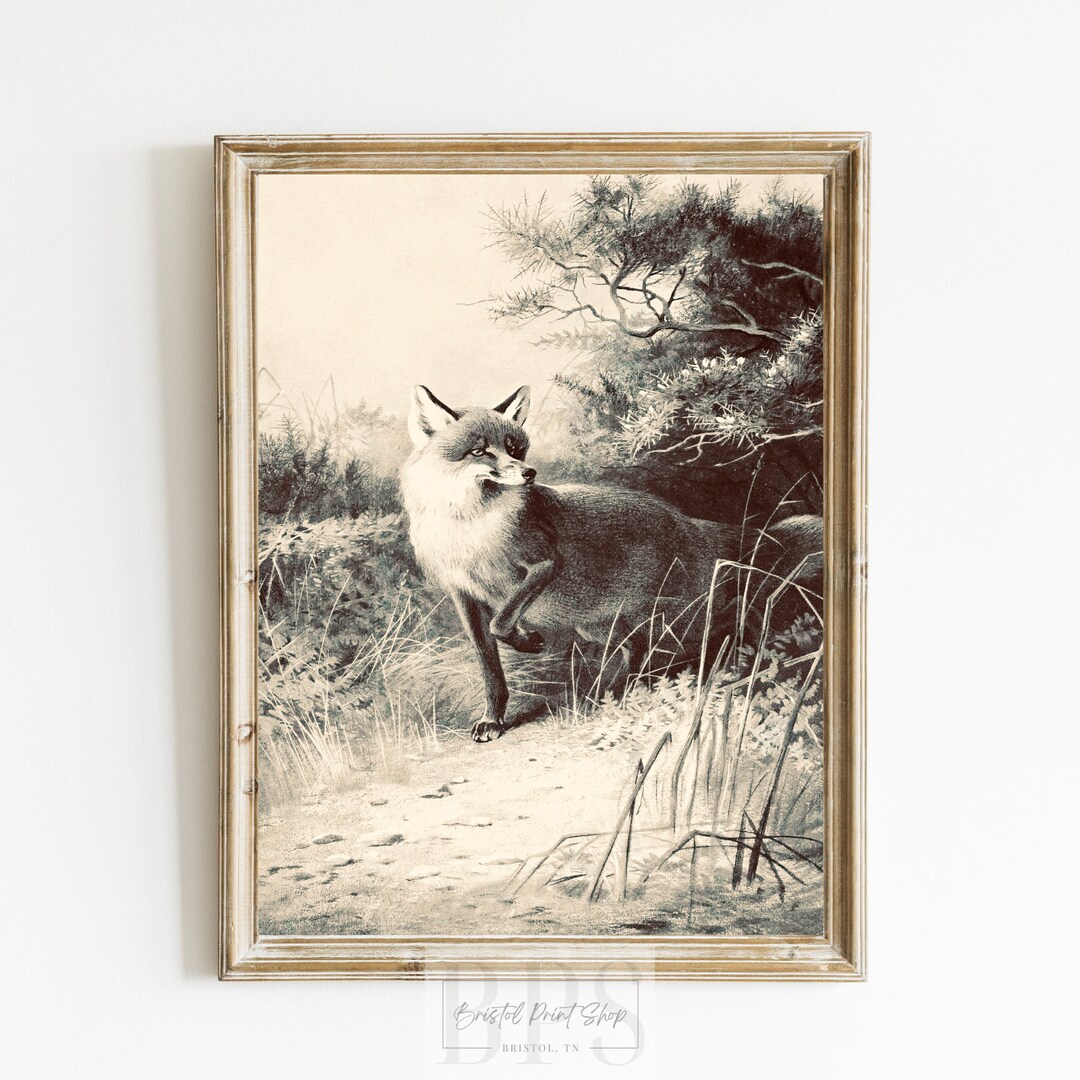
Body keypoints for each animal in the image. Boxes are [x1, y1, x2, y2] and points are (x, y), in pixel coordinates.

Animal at [400, 384, 822, 743]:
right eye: (479, 451)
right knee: (640, 651)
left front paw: (528, 641)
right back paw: (623, 691)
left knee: (720, 622)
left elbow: (502, 624)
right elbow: (491, 667)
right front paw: (493, 720)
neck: (470, 528)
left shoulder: (544, 564)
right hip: (604, 627)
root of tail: (687, 521)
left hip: (666, 615)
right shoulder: (464, 596)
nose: (529, 473)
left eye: (515, 449)